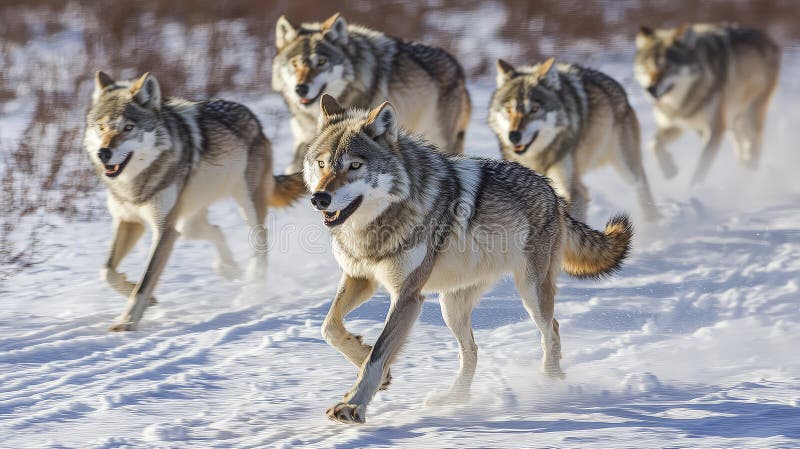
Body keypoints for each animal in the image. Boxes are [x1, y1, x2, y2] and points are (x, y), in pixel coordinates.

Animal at [84, 71, 305, 331]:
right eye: (101, 127)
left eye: (128, 127)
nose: (103, 153)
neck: (134, 183)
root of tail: (255, 120)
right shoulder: (129, 221)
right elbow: (106, 271)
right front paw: (146, 300)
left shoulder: (164, 231)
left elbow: (145, 281)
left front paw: (127, 321)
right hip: (188, 226)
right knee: (216, 230)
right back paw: (229, 269)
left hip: (245, 208)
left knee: (260, 246)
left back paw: (253, 289)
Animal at [305, 94, 634, 424]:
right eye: (322, 164)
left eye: (354, 165)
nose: (319, 198)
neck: (375, 227)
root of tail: (552, 192)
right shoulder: (361, 278)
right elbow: (329, 327)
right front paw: (374, 372)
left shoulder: (408, 295)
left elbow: (377, 355)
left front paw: (353, 405)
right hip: (450, 307)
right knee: (472, 352)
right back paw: (454, 399)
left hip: (530, 293)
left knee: (551, 331)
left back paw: (550, 386)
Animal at [489, 57, 660, 222]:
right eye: (508, 110)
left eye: (534, 109)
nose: (513, 136)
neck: (539, 155)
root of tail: (618, 86)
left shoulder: (574, 190)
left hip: (626, 168)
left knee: (641, 181)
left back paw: (652, 223)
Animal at [634, 23, 780, 185]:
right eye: (647, 67)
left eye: (667, 67)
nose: (650, 89)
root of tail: (769, 39)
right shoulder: (675, 126)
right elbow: (652, 144)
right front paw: (669, 170)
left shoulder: (715, 129)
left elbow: (700, 168)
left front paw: (693, 188)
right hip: (731, 122)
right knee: (741, 148)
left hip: (750, 117)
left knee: (755, 145)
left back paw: (750, 173)